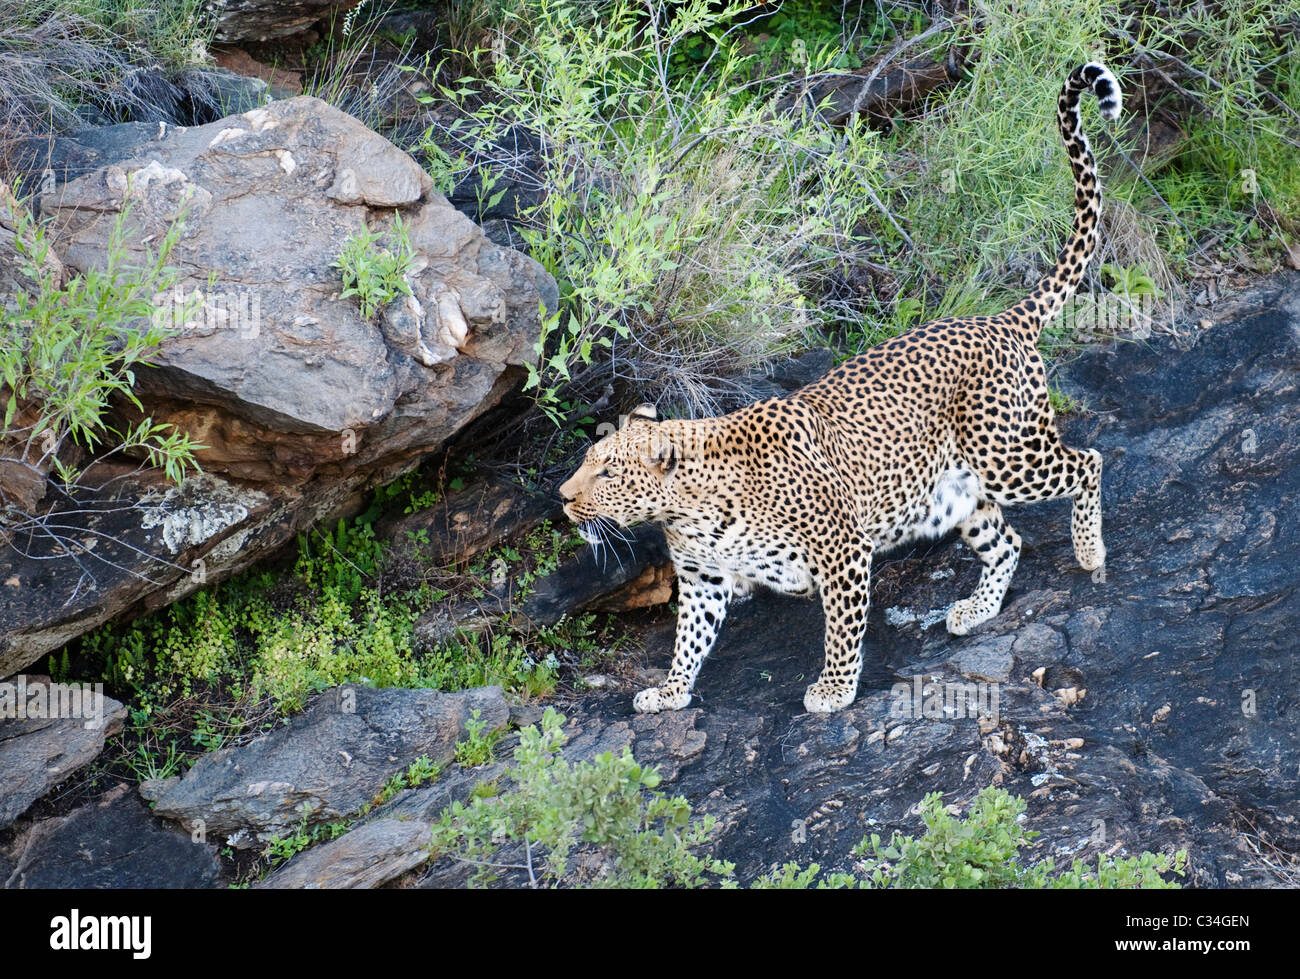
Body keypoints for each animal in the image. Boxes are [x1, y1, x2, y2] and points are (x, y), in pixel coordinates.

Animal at [559, 63, 1120, 715]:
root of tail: (998, 320)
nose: (562, 498)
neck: (686, 508)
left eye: (606, 472)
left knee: (1088, 460)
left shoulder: (842, 550)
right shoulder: (702, 579)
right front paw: (671, 692)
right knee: (1006, 540)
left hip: (1008, 455)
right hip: (956, 490)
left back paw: (1089, 551)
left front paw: (833, 689)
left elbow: (842, 628)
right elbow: (689, 640)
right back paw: (975, 611)